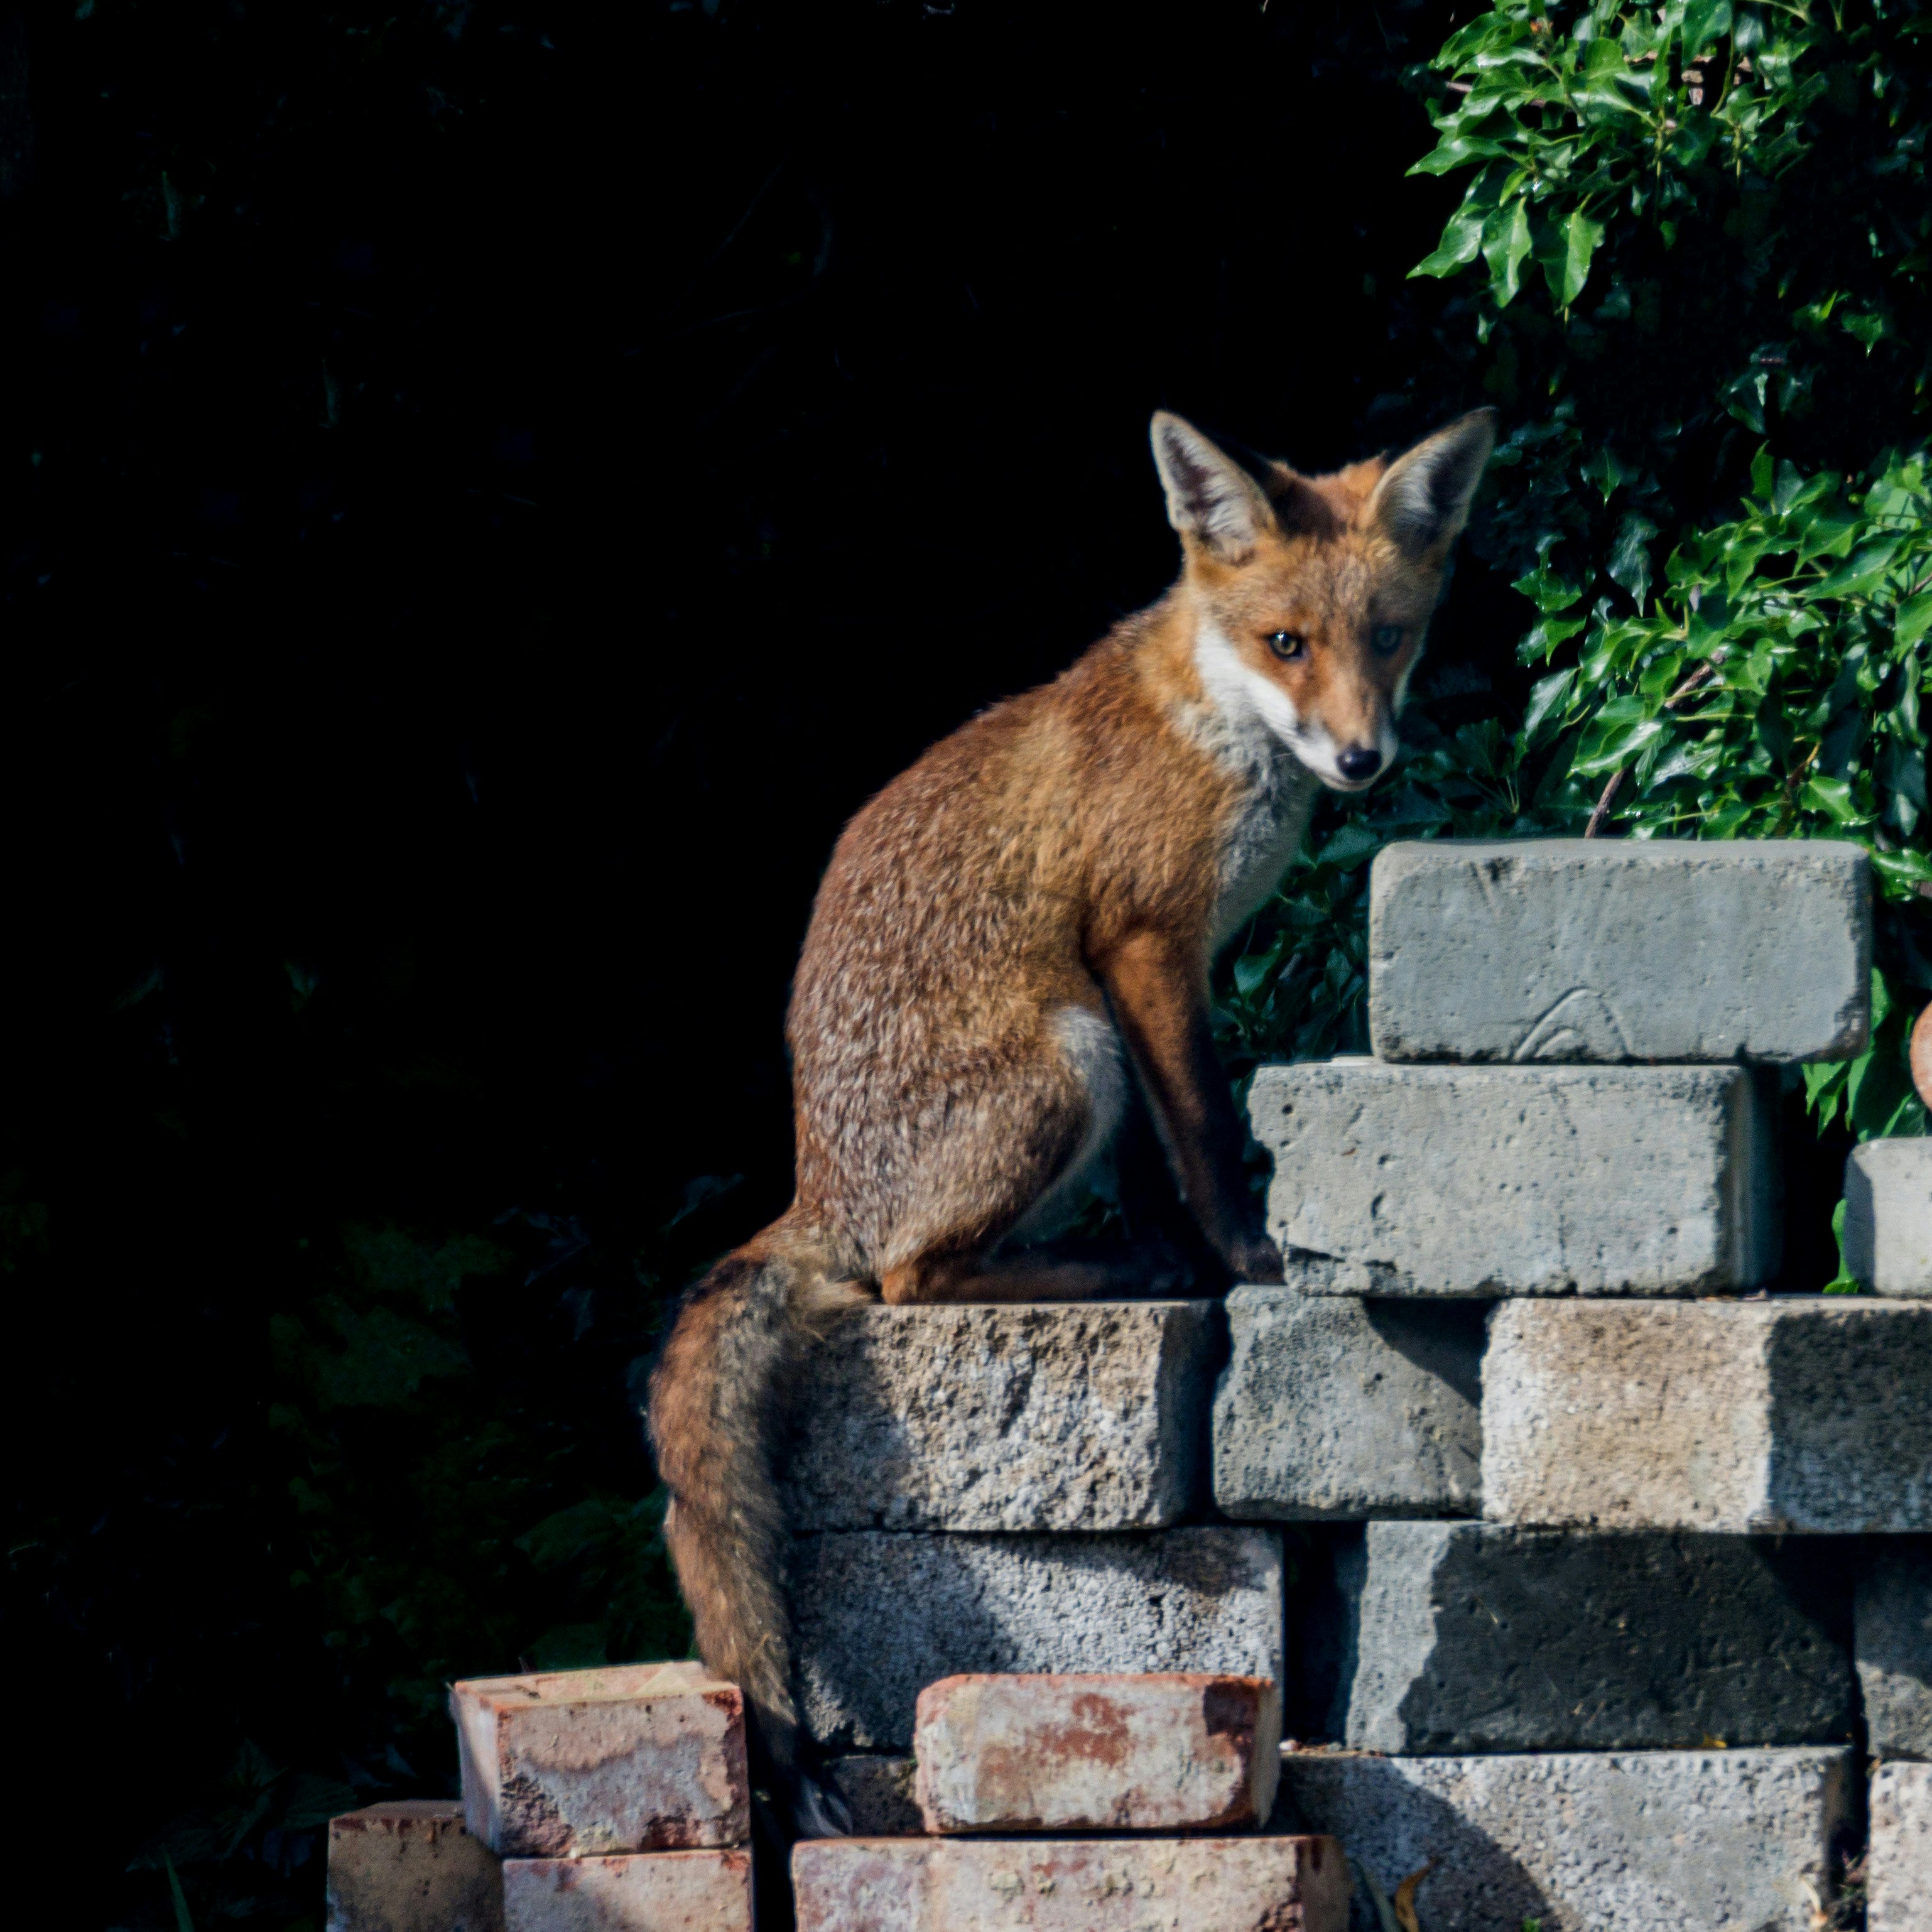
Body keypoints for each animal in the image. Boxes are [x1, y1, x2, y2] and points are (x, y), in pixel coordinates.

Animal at [647, 405, 1495, 1834]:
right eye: (1286, 643)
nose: (1361, 758)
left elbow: (1161, 1164)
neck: (1214, 725)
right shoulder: (1144, 948)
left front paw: (1188, 1257)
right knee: (905, 1280)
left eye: (1386, 636)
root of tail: (817, 1187)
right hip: (1069, 1056)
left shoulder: (1157, 971)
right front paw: (1247, 1260)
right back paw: (1104, 1272)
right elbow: (1204, 1134)